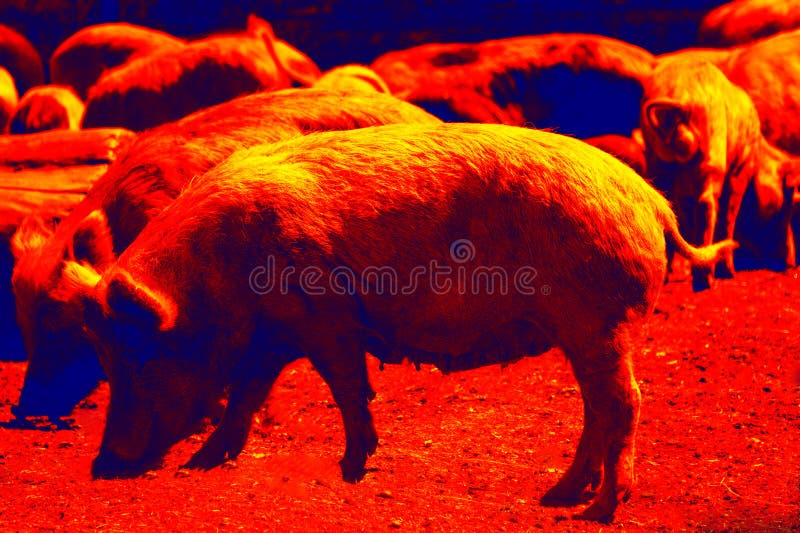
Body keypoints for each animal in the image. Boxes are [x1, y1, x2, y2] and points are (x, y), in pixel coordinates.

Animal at [79, 122, 734, 522]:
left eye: (139, 358)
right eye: (104, 359)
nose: (103, 466)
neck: (217, 273)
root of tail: (651, 201)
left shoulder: (326, 316)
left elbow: (346, 386)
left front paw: (351, 469)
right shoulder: (275, 336)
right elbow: (246, 393)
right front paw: (204, 462)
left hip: (599, 321)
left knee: (624, 403)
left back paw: (598, 509)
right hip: (586, 330)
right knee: (599, 408)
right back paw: (556, 497)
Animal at [641, 58, 798, 290]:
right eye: (787, 200)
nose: (790, 264)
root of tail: (681, 94)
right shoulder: (741, 168)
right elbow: (729, 212)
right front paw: (728, 273)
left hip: (656, 159)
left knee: (663, 200)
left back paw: (666, 276)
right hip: (713, 144)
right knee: (708, 202)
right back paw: (706, 279)